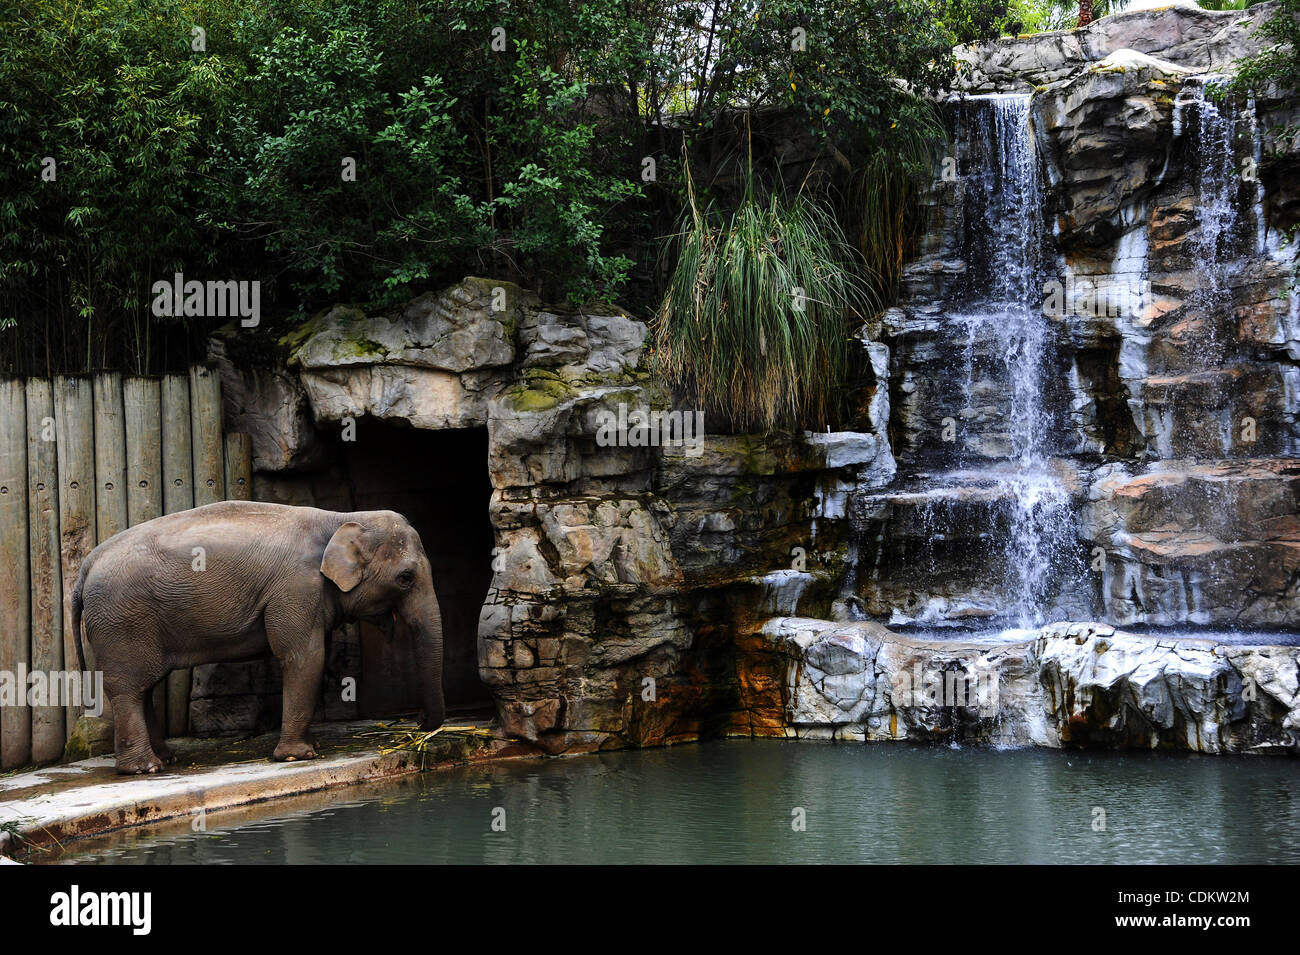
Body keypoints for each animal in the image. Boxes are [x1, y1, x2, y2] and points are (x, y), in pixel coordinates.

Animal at [71, 500, 445, 775]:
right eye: (405, 578)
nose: (417, 721)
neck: (342, 518)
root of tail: (85, 567)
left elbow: (311, 657)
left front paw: (310, 748)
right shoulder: (296, 587)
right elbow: (304, 657)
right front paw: (298, 756)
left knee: (144, 687)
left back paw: (165, 760)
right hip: (122, 621)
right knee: (128, 688)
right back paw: (144, 769)